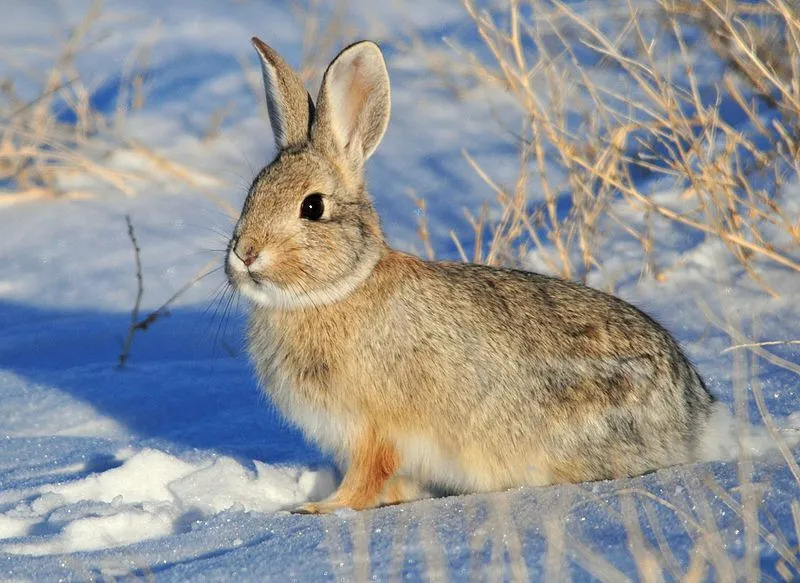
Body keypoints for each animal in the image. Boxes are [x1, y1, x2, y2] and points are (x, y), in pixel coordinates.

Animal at [223, 37, 712, 516]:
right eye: (252, 193)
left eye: (312, 207)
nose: (245, 253)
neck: (337, 290)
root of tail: (696, 413)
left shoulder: (373, 429)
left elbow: (366, 477)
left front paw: (319, 509)